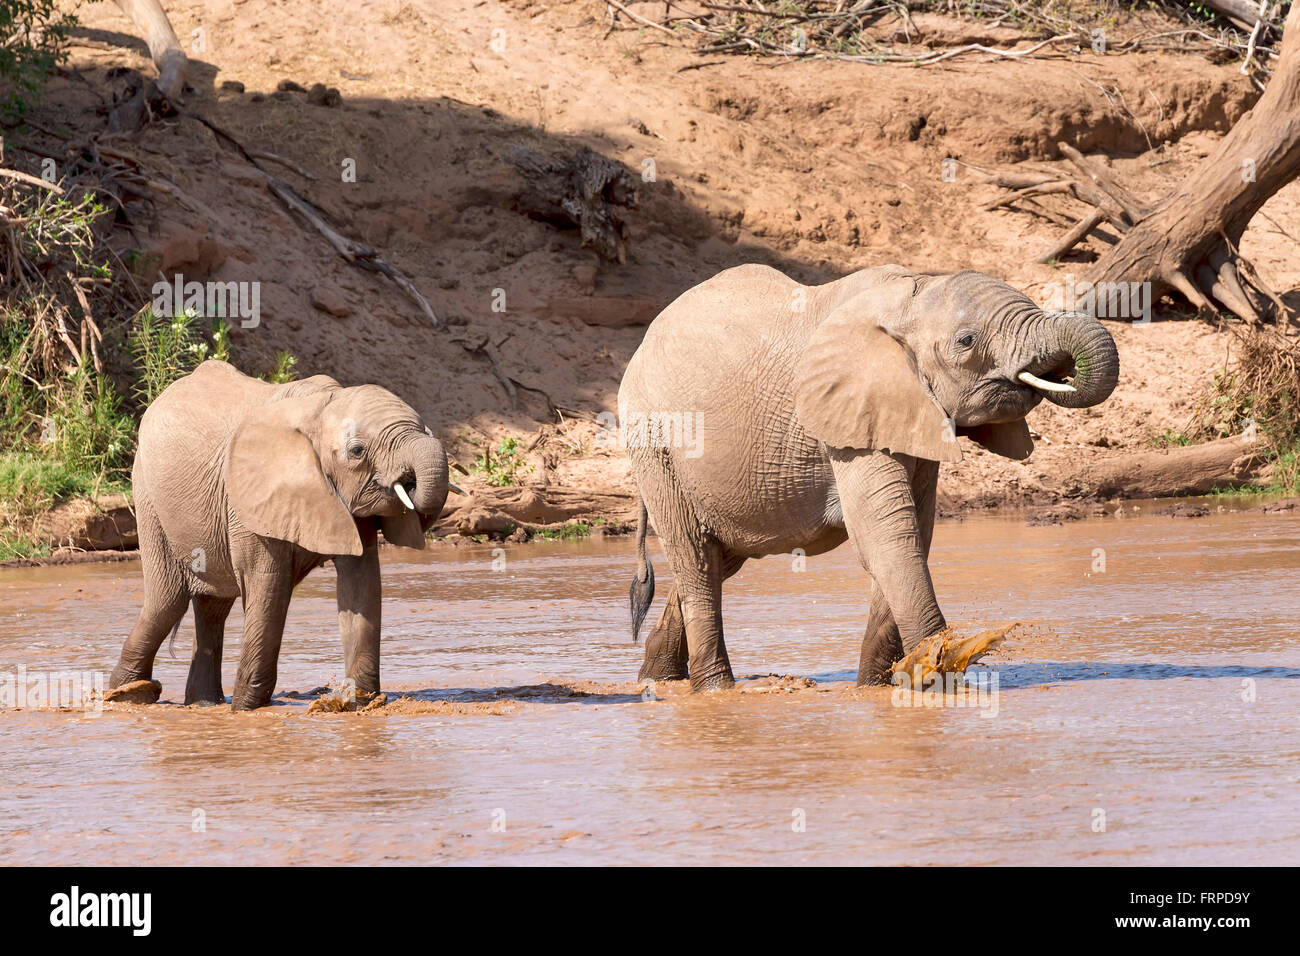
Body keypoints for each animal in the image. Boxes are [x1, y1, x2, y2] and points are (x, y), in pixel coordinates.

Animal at [108, 360, 460, 710]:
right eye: (357, 451)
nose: (409, 482)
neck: (320, 408)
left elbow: (362, 583)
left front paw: (359, 704)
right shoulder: (249, 500)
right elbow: (268, 585)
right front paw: (247, 711)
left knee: (212, 606)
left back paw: (202, 704)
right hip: (149, 497)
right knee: (168, 600)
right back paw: (127, 695)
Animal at [620, 263, 1119, 691]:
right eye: (967, 340)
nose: (1063, 370)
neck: (910, 293)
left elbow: (912, 531)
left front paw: (882, 685)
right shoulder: (845, 417)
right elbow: (883, 535)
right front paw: (937, 665)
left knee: (716, 558)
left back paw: (656, 679)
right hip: (655, 445)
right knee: (694, 557)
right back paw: (715, 689)